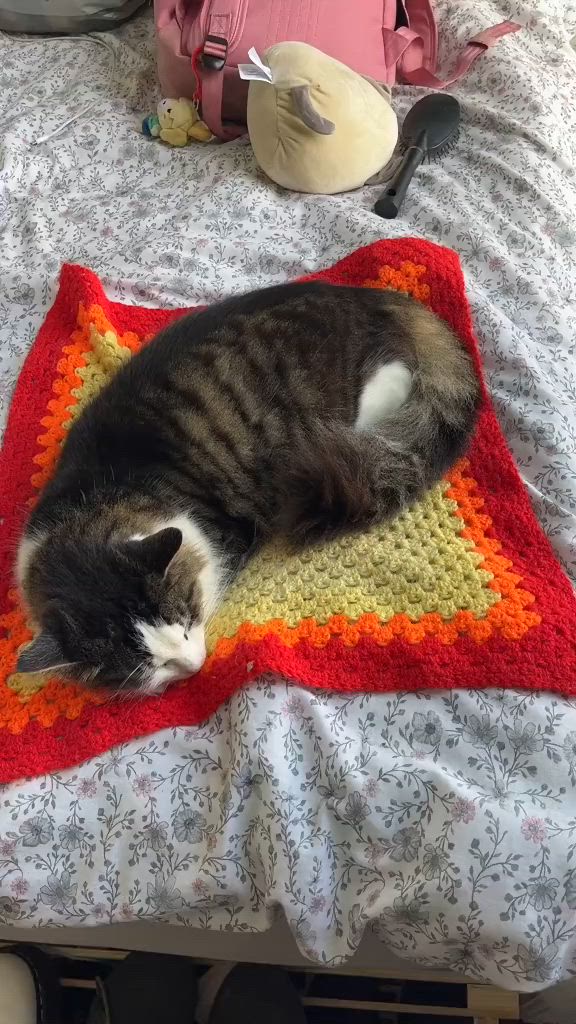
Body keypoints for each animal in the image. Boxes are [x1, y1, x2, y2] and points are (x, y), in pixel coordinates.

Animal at [15, 282, 477, 696]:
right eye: (149, 666)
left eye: (187, 620)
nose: (195, 666)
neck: (105, 494)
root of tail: (372, 296)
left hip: (362, 400)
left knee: (393, 386)